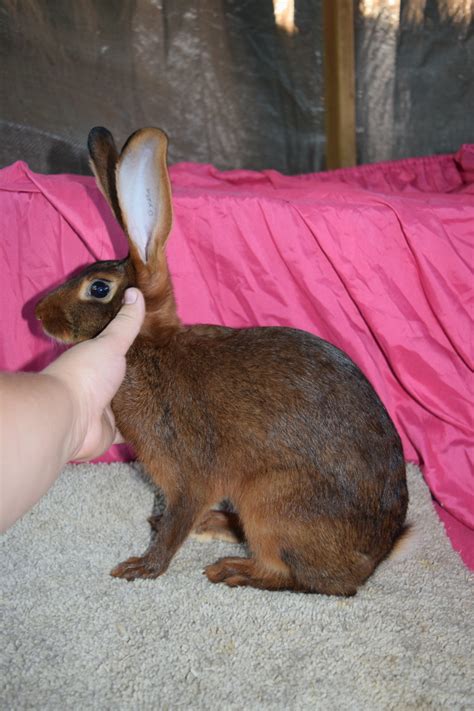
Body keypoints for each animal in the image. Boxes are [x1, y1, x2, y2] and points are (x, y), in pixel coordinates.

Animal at [35, 126, 408, 596]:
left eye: (98, 288)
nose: (37, 314)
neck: (148, 348)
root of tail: (373, 559)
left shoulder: (189, 475)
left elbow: (176, 524)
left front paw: (142, 567)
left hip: (271, 503)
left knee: (301, 577)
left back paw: (230, 569)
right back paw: (215, 527)